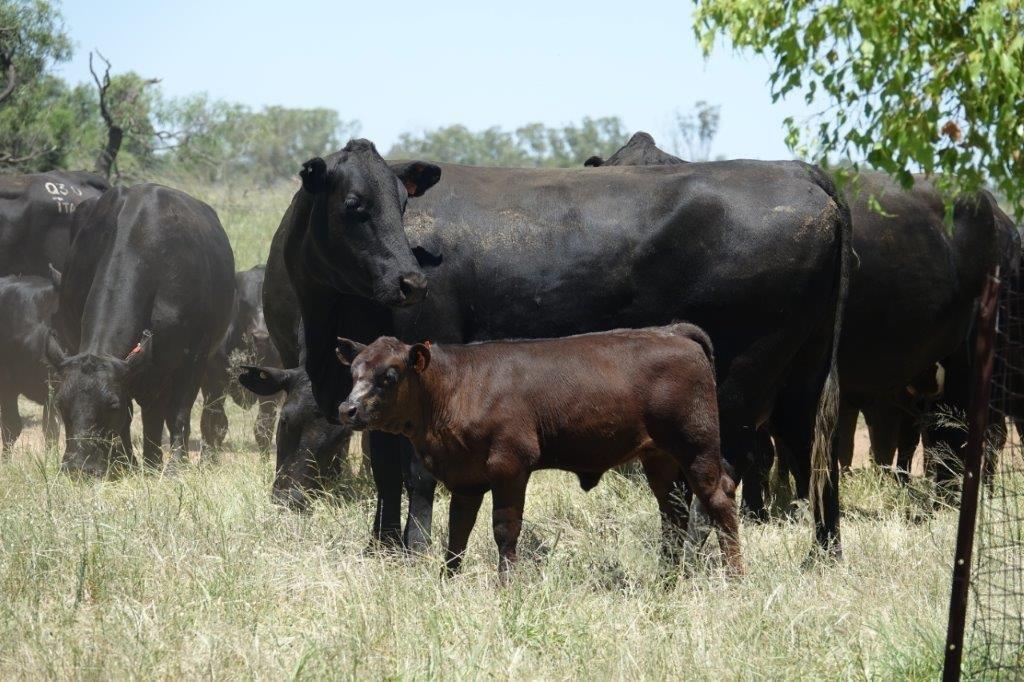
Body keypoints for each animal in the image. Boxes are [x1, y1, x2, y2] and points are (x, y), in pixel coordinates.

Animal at [45, 184, 235, 475]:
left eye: (111, 404)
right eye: (60, 403)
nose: (78, 466)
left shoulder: (191, 358)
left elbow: (178, 412)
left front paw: (174, 465)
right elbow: (134, 415)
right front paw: (125, 462)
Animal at [200, 265, 282, 451]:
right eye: (244, 301)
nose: (261, 337)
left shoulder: (271, 395)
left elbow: (263, 429)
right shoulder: (214, 387)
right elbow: (215, 427)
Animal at [335, 325, 743, 578]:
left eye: (389, 376)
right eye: (353, 373)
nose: (346, 409)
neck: (457, 387)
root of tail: (673, 331)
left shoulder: (511, 464)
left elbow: (505, 528)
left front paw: (506, 582)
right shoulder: (466, 479)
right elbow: (457, 531)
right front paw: (447, 580)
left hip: (696, 446)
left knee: (718, 498)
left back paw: (735, 575)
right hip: (660, 457)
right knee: (672, 511)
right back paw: (667, 577)